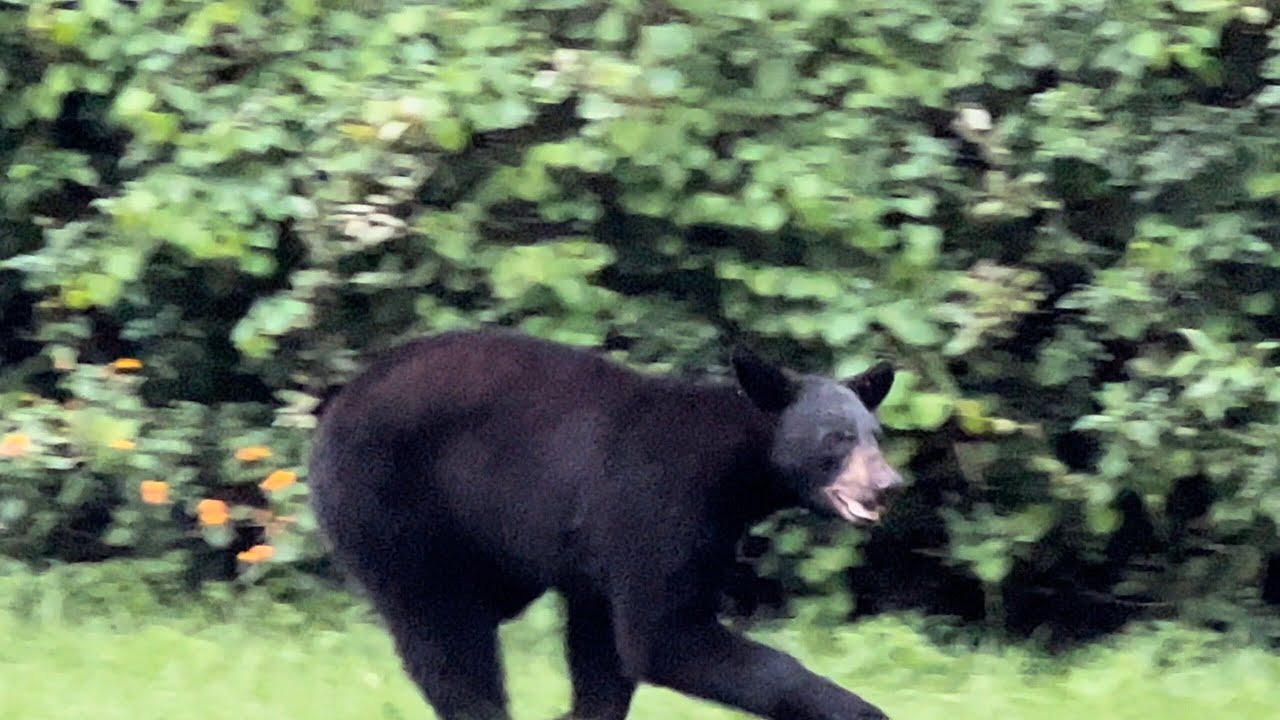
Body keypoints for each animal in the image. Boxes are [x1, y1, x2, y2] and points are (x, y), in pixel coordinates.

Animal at [308, 328, 902, 720]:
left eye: (874, 434)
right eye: (836, 439)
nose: (888, 484)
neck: (732, 469)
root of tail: (337, 404)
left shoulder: (599, 558)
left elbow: (605, 657)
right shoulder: (655, 505)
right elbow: (662, 636)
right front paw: (861, 712)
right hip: (395, 509)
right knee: (446, 637)